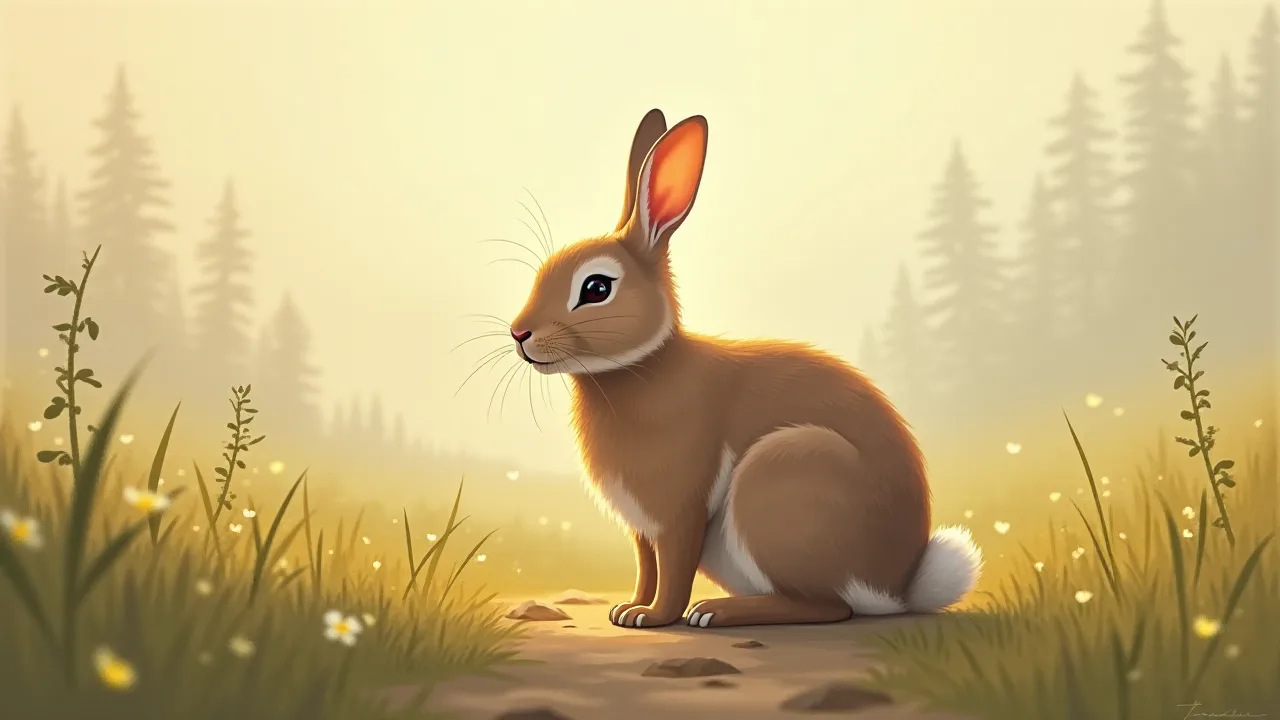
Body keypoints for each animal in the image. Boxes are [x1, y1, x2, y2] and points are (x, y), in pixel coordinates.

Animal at [505, 108, 983, 629]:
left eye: (595, 288)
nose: (519, 333)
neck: (642, 365)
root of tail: (898, 586)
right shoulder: (641, 527)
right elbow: (646, 567)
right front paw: (627, 610)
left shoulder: (679, 511)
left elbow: (673, 570)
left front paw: (653, 617)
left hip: (782, 479)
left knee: (827, 607)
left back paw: (715, 612)